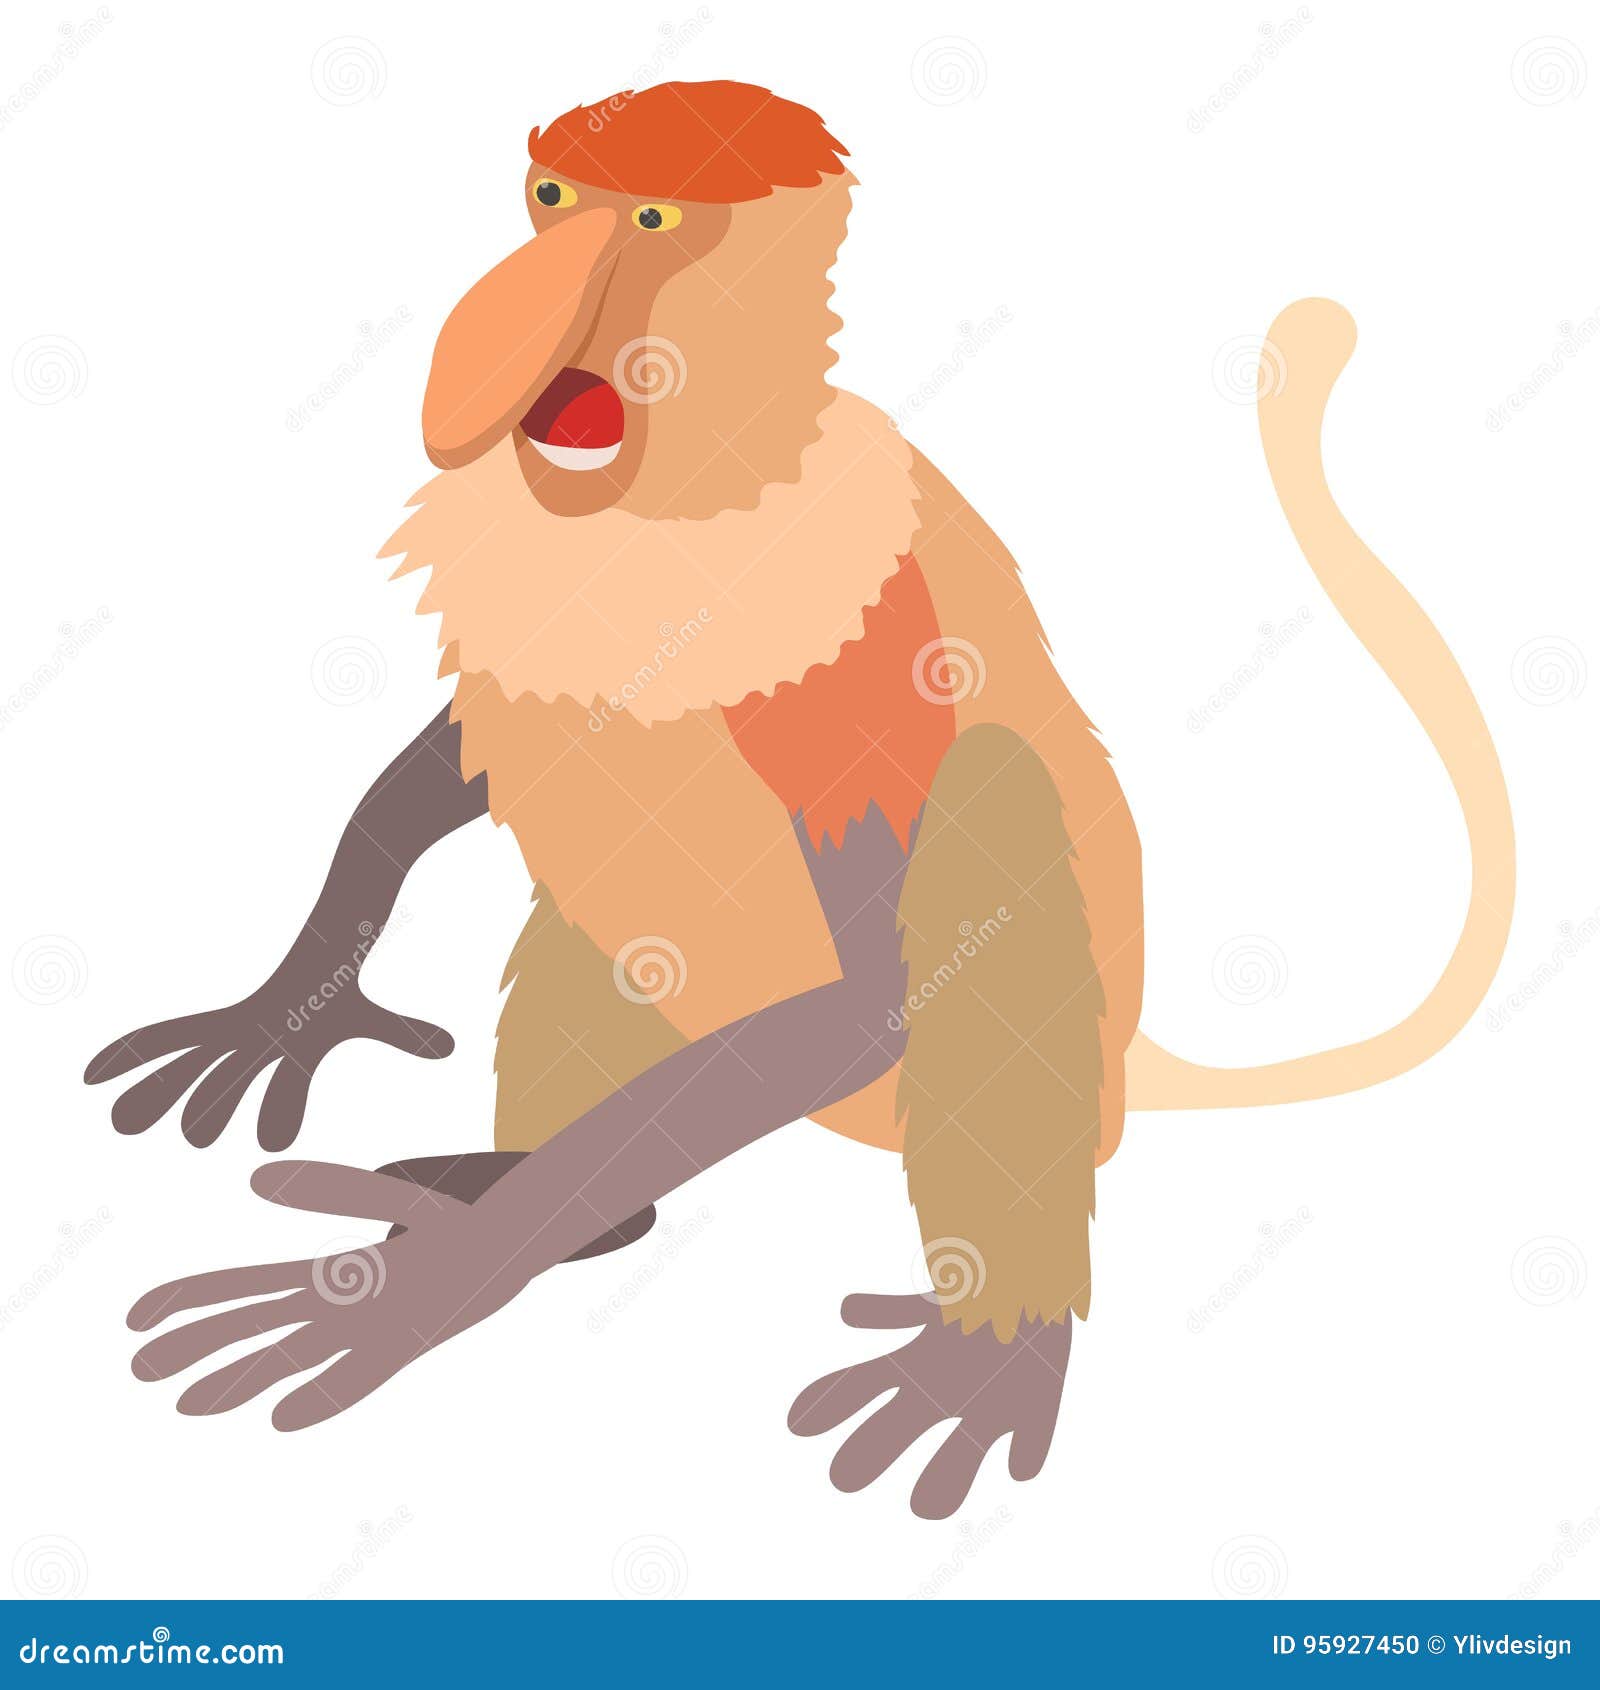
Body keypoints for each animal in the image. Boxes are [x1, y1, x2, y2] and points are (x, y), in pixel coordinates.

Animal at [86, 81, 1514, 1520]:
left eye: (654, 224)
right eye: (549, 200)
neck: (693, 498)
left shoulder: (859, 651)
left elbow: (870, 994)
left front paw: (423, 1283)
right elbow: (457, 766)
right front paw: (289, 1010)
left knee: (994, 805)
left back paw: (983, 1344)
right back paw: (538, 1194)